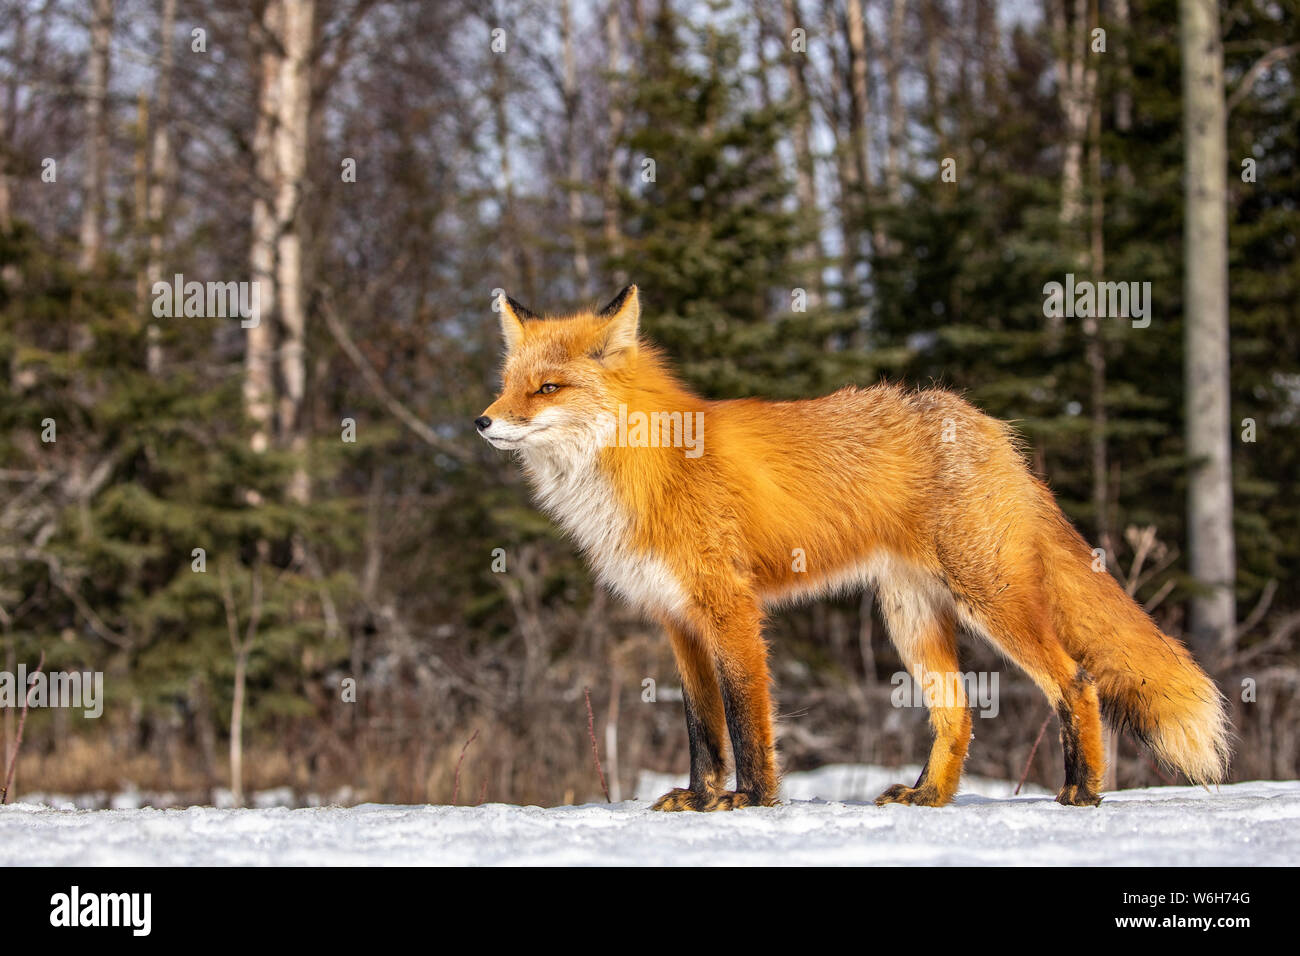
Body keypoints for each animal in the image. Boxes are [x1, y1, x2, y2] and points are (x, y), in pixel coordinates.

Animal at [476, 284, 1231, 811]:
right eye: (508, 385)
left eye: (547, 388)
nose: (483, 423)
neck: (650, 465)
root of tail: (986, 424)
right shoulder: (678, 620)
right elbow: (702, 729)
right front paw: (699, 797)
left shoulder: (731, 611)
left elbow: (747, 722)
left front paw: (749, 801)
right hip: (911, 619)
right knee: (959, 714)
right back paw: (929, 795)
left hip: (990, 602)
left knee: (1075, 681)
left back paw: (1082, 792)